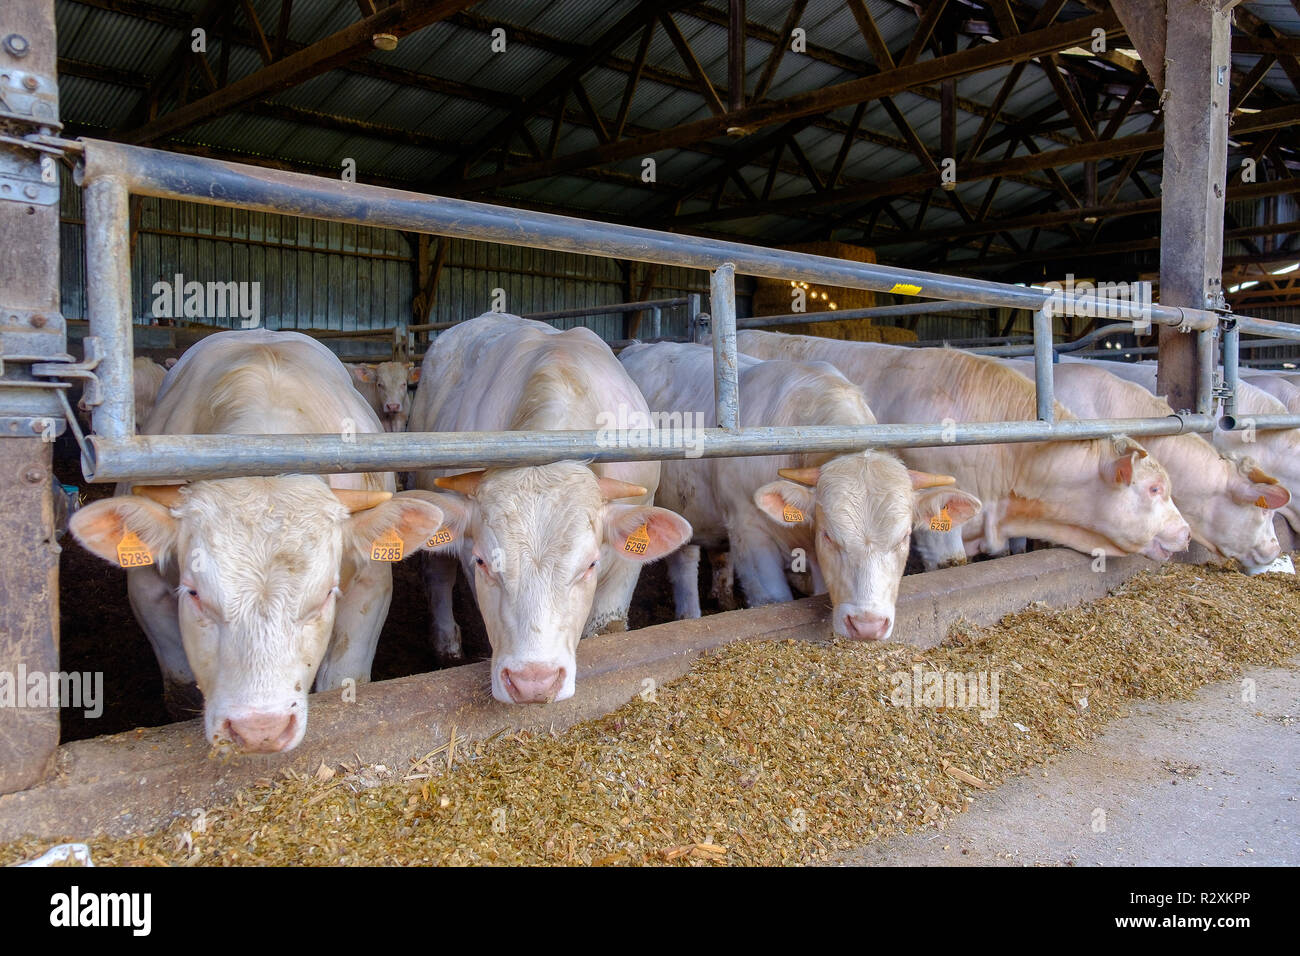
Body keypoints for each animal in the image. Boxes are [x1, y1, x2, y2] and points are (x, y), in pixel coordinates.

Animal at [68, 331, 446, 753]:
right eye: (194, 593)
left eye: (325, 595)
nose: (260, 729)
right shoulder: (146, 586)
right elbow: (181, 689)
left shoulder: (371, 584)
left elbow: (343, 682)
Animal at [408, 313, 692, 705]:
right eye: (483, 562)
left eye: (590, 564)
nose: (533, 682)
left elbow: (609, 625)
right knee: (437, 573)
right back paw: (446, 644)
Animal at [620, 342, 981, 640]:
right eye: (830, 536)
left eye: (904, 537)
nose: (867, 625)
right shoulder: (750, 531)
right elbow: (772, 599)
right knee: (683, 563)